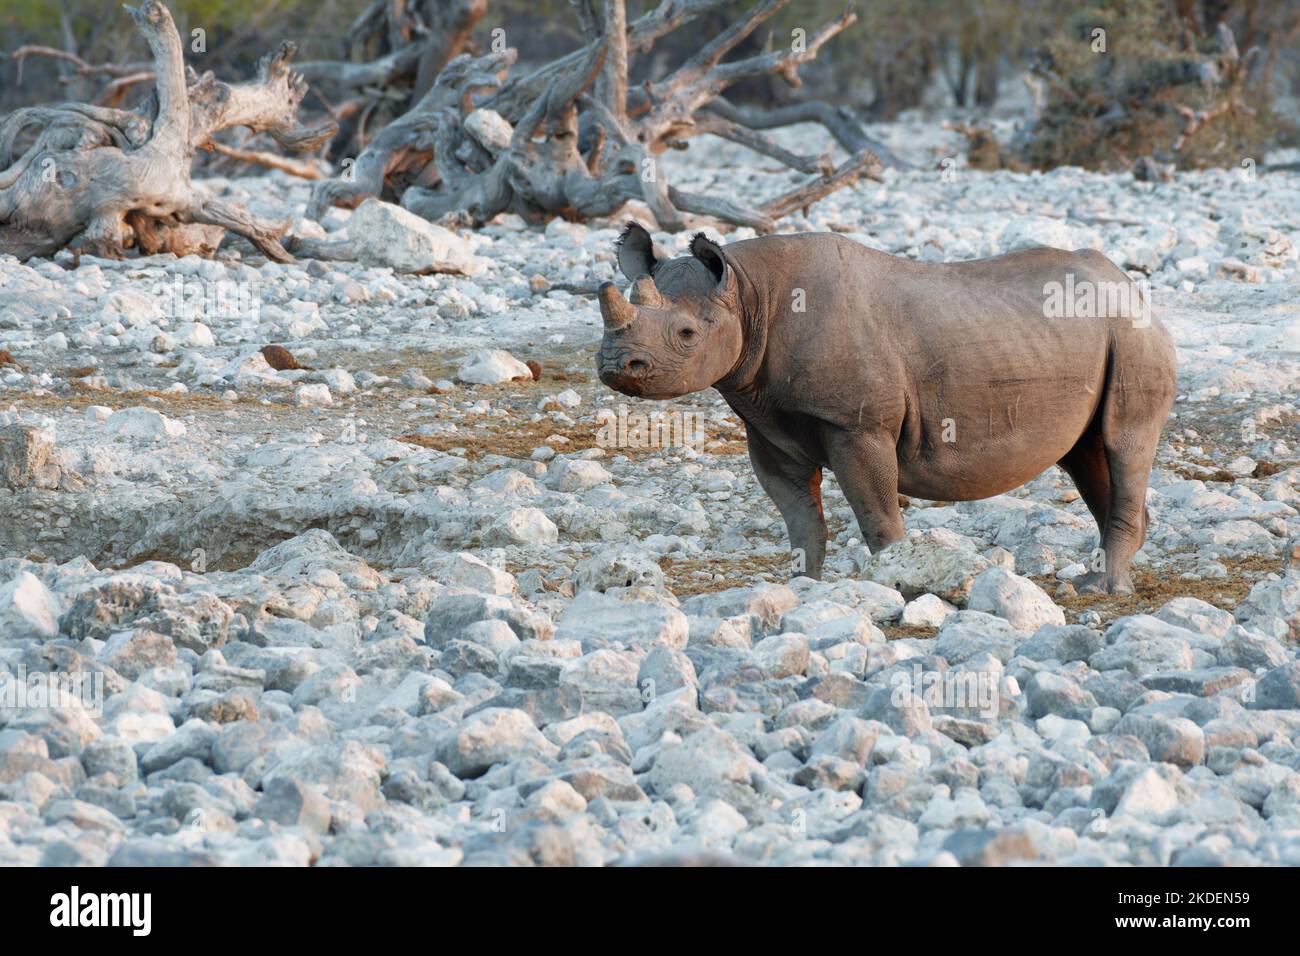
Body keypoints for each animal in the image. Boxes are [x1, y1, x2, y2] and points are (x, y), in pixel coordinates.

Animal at [596, 223, 1177, 594]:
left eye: (687, 334)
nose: (616, 365)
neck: (747, 292)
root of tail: (1130, 287)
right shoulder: (766, 422)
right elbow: (800, 521)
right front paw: (802, 588)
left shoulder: (858, 425)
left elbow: (877, 516)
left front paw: (897, 585)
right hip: (1096, 335)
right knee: (1086, 455)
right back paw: (1103, 579)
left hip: (1132, 336)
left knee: (1124, 444)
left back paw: (1105, 590)